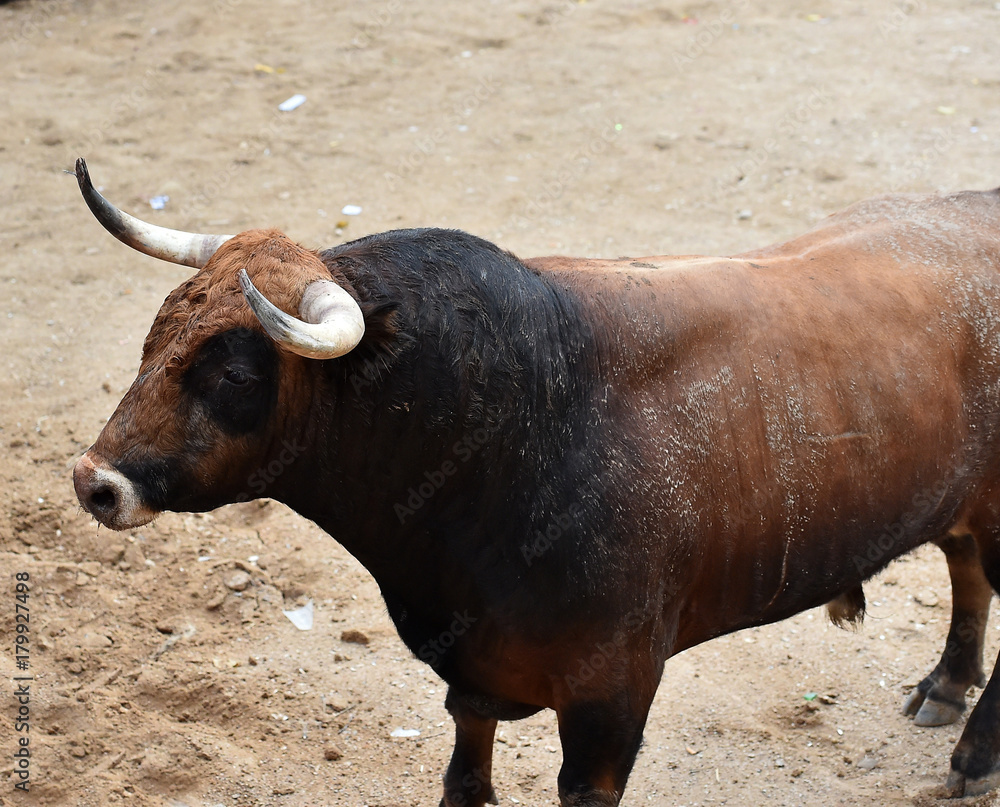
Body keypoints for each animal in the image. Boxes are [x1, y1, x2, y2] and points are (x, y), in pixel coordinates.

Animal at [71, 156, 1000, 805]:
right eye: (156, 333)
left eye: (233, 373)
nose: (94, 482)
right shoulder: (473, 670)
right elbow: (464, 770)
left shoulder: (610, 702)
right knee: (966, 572)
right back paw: (945, 687)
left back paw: (971, 755)